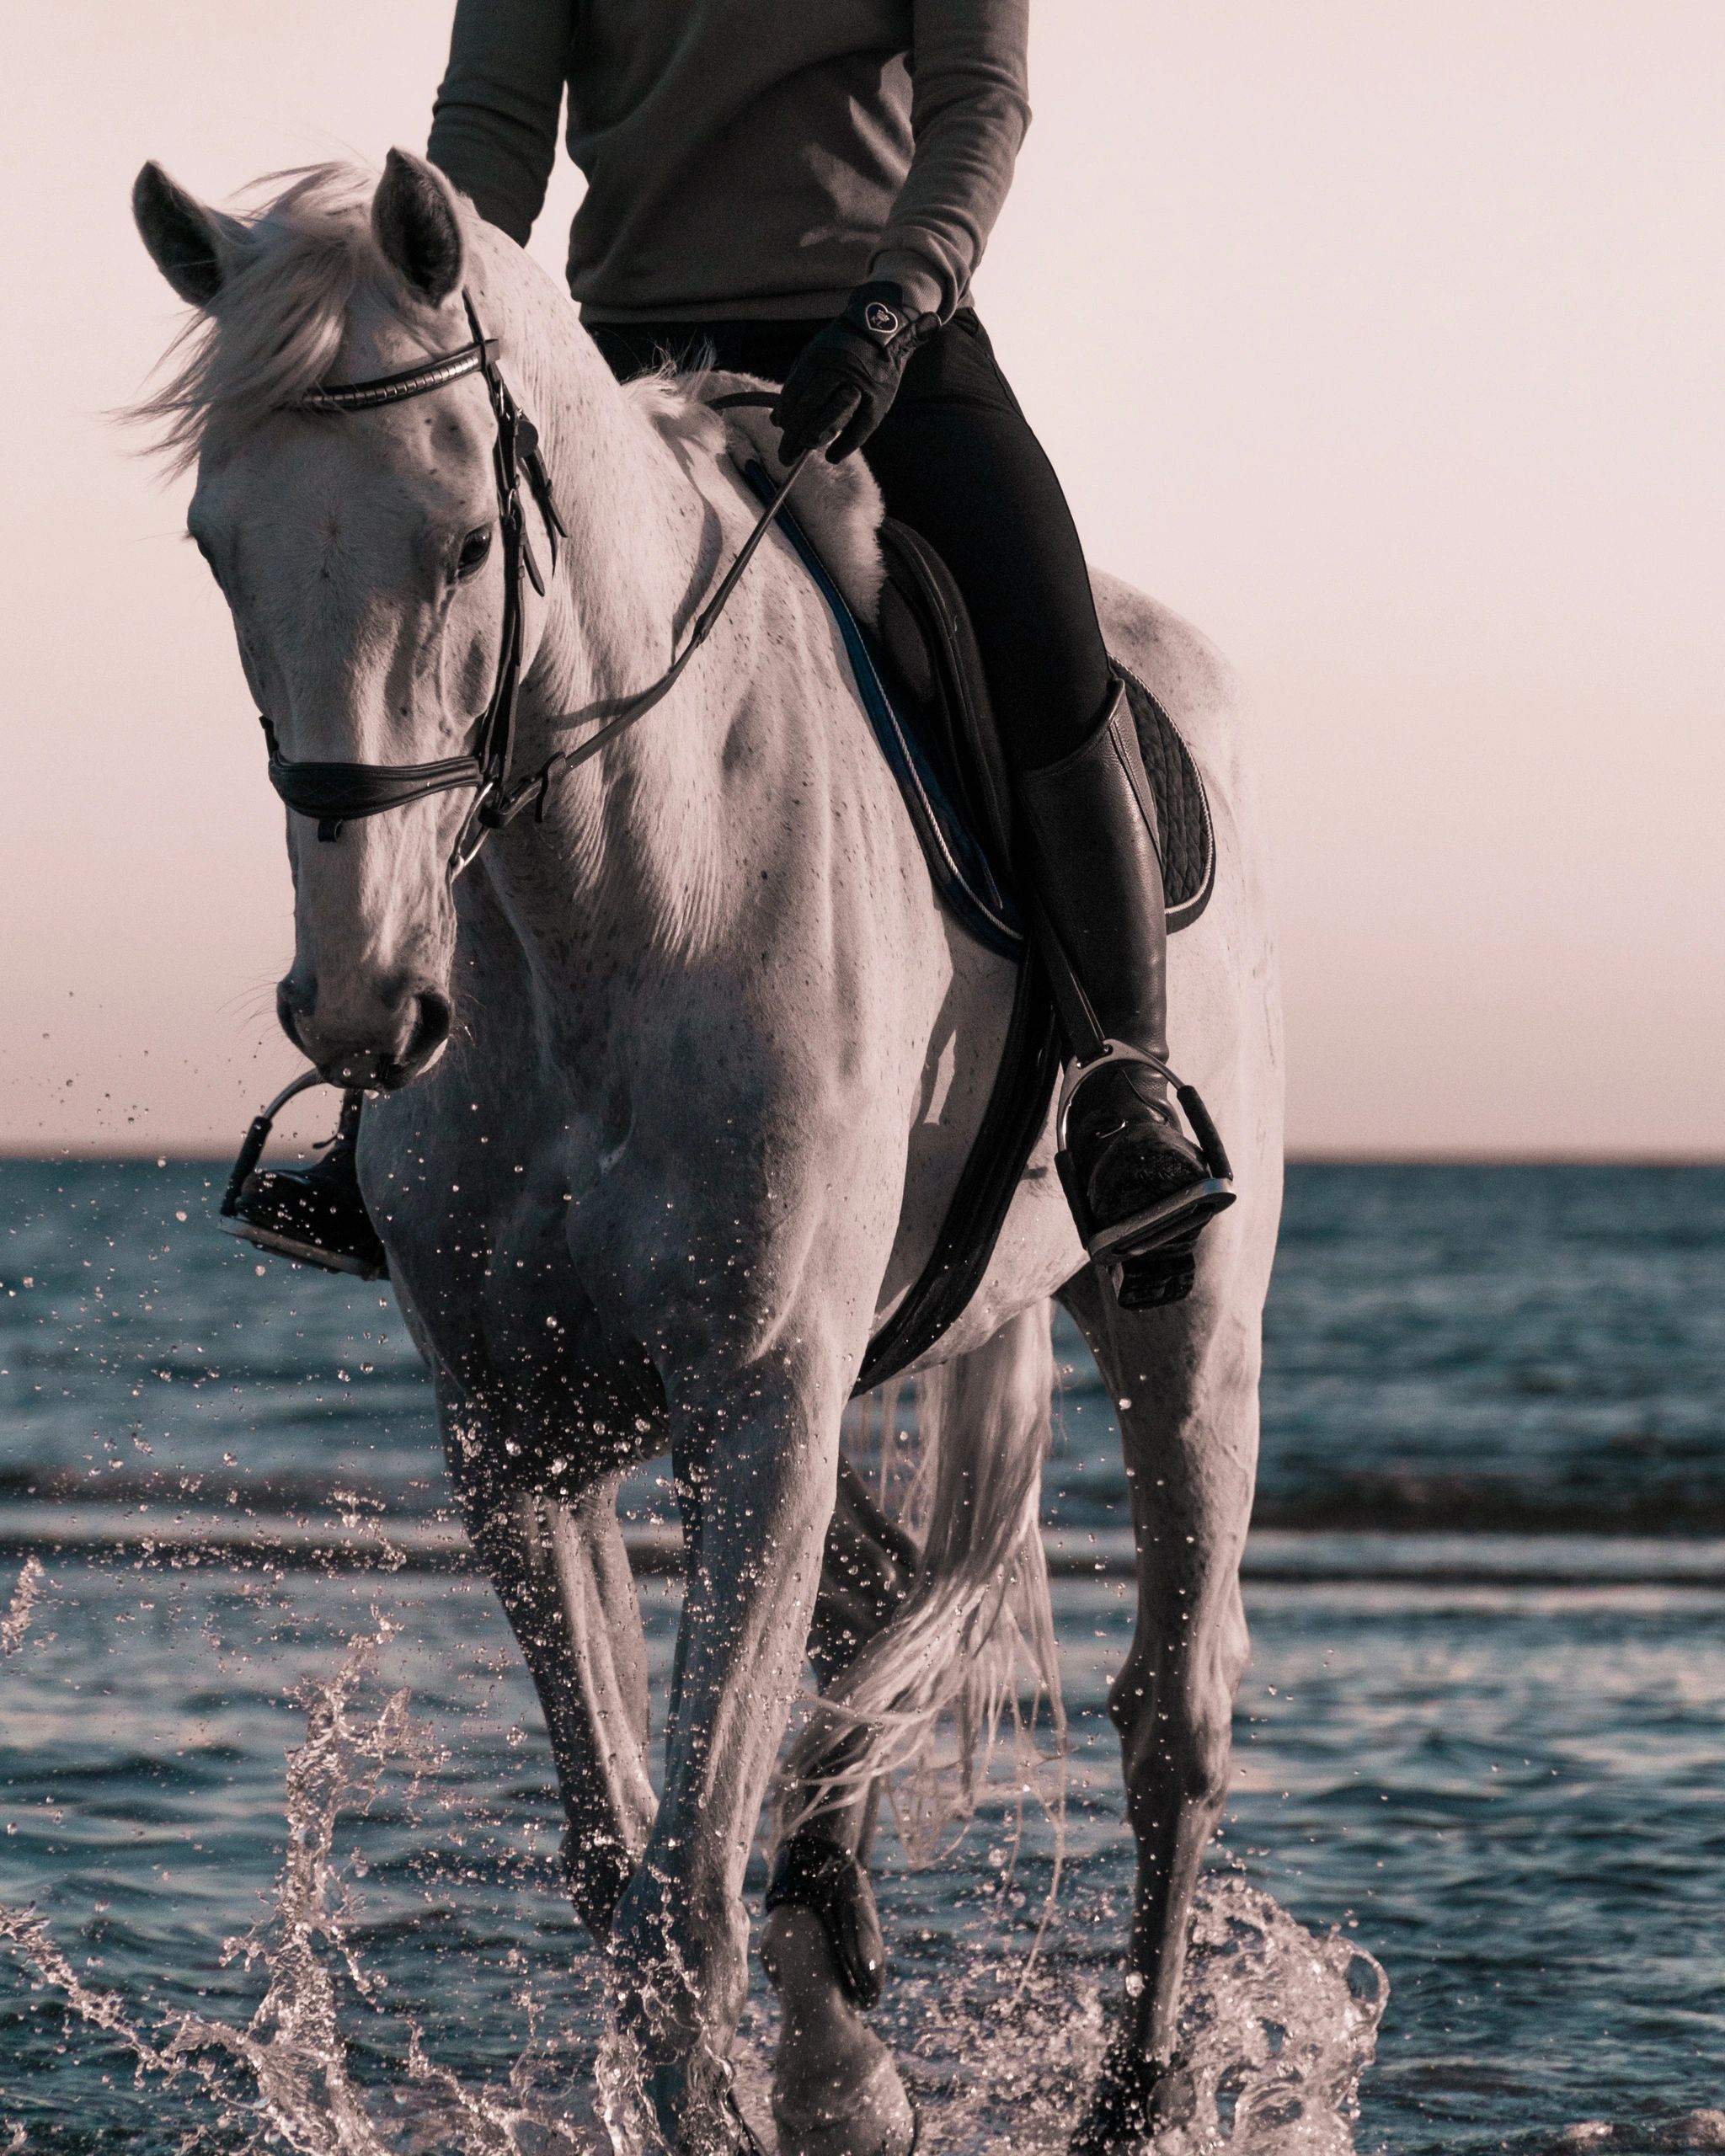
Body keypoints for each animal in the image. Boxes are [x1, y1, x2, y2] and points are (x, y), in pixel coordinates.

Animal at [131, 150, 1283, 2156]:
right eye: (220, 550)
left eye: (463, 542)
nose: (361, 1005)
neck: (611, 895)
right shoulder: (517, 1436)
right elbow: (619, 1866)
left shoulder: (754, 1405)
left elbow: (682, 1881)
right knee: (884, 1624)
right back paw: (847, 2059)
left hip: (1184, 1316)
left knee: (1172, 1719)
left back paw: (1125, 2097)